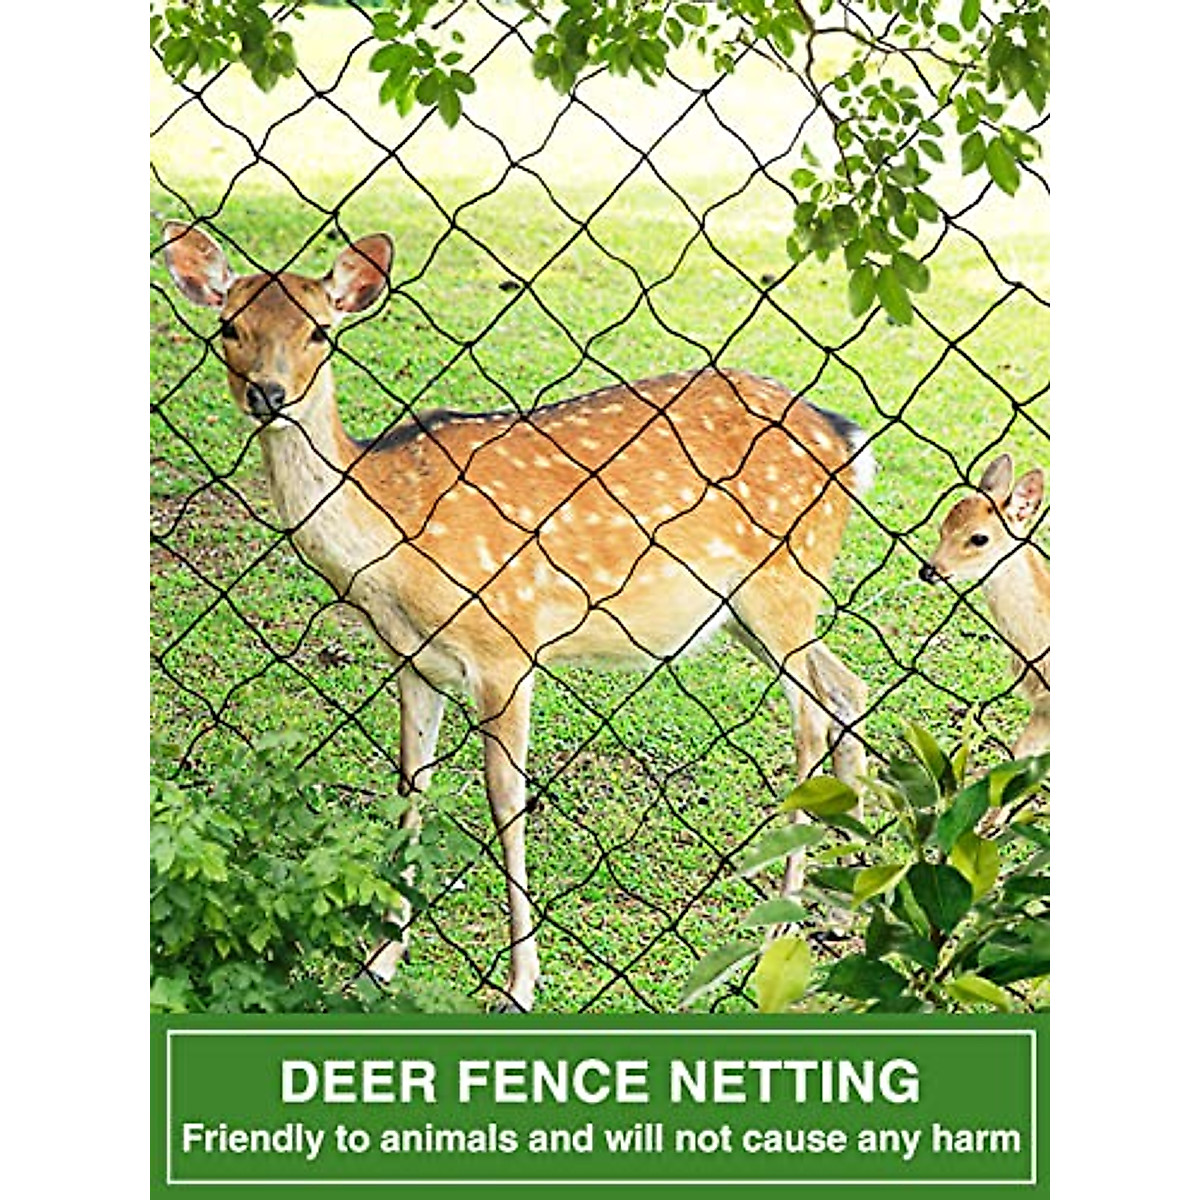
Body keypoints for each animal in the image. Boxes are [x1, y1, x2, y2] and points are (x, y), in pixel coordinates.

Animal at [160, 222, 874, 1011]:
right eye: (229, 326)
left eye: (320, 330)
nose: (268, 391)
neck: (390, 548)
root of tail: (848, 442)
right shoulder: (413, 661)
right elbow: (410, 788)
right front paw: (380, 958)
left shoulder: (507, 644)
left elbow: (506, 801)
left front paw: (520, 982)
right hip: (760, 605)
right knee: (848, 689)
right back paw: (839, 911)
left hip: (784, 578)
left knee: (810, 719)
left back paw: (780, 924)